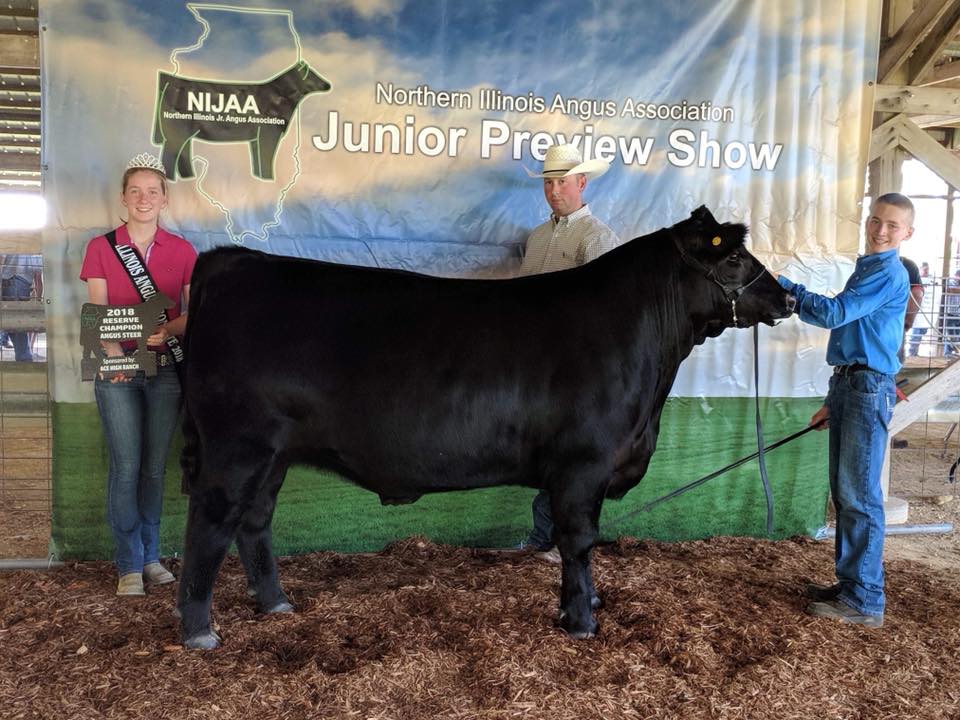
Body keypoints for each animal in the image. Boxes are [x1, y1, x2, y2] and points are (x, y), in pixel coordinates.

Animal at [152, 61, 331, 181]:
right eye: (310, 73)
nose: (327, 84)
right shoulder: (268, 133)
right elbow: (266, 158)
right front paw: (269, 179)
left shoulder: (256, 138)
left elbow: (257, 161)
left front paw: (261, 179)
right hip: (177, 130)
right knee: (171, 154)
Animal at [175, 206, 795, 649]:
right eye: (733, 260)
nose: (788, 296)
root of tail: (234, 260)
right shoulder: (583, 464)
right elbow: (579, 540)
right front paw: (580, 619)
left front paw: (587, 605)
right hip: (237, 446)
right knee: (212, 522)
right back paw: (199, 629)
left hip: (275, 455)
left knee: (255, 521)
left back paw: (275, 602)